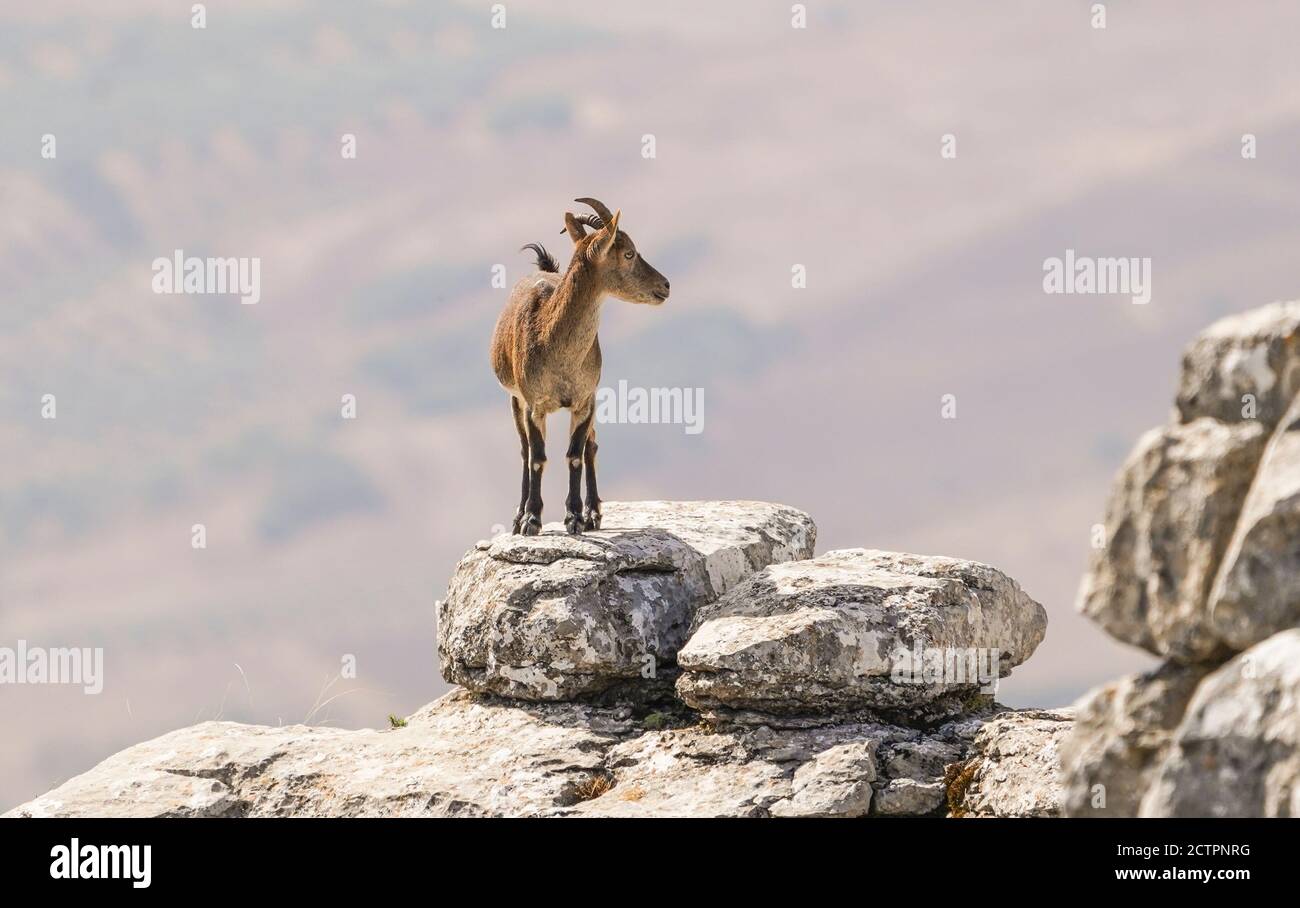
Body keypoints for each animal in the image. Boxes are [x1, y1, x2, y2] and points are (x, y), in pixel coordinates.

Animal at [490, 198, 671, 535]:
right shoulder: (534, 405)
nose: (665, 285)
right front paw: (531, 519)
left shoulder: (585, 400)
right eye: (628, 252)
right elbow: (537, 457)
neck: (557, 350)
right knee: (525, 451)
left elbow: (576, 454)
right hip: (514, 400)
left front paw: (576, 517)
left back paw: (593, 513)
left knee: (591, 447)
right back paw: (518, 515)